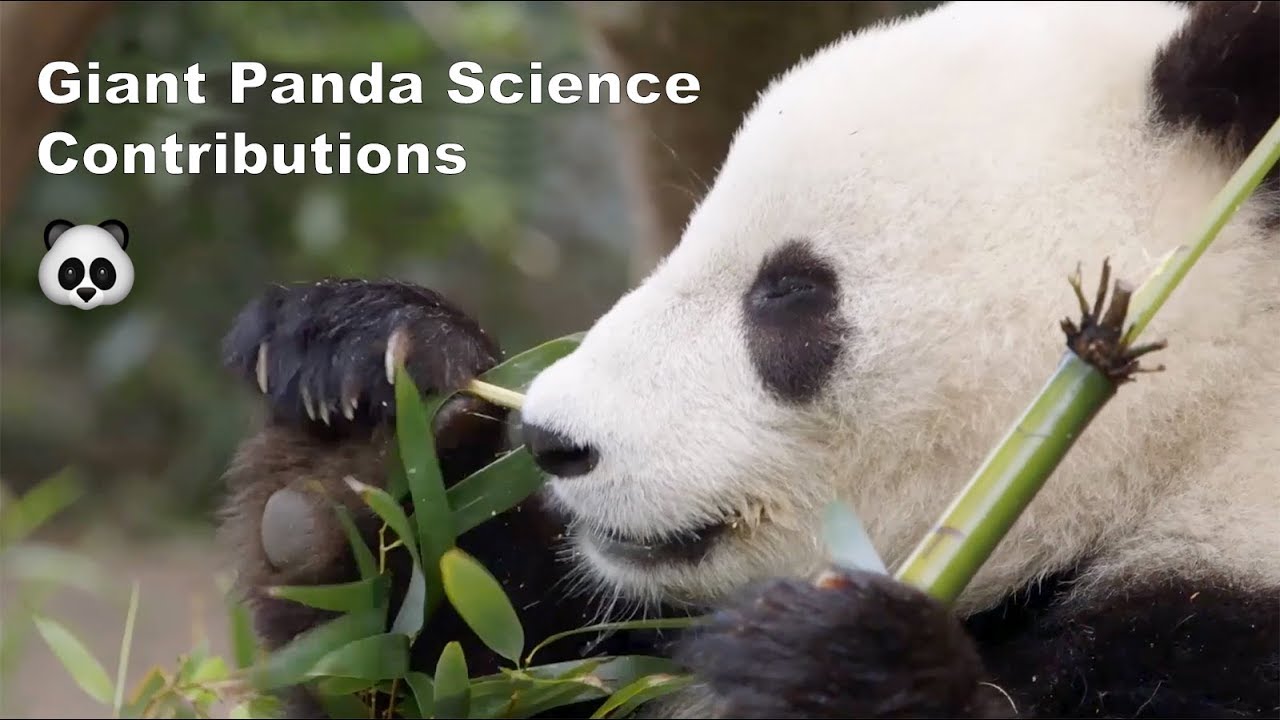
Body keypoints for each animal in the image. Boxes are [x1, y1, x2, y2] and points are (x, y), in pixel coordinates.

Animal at [217, 1, 1280, 718]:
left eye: (789, 290)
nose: (555, 440)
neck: (1210, 436)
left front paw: (831, 665)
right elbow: (479, 660)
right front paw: (360, 401)